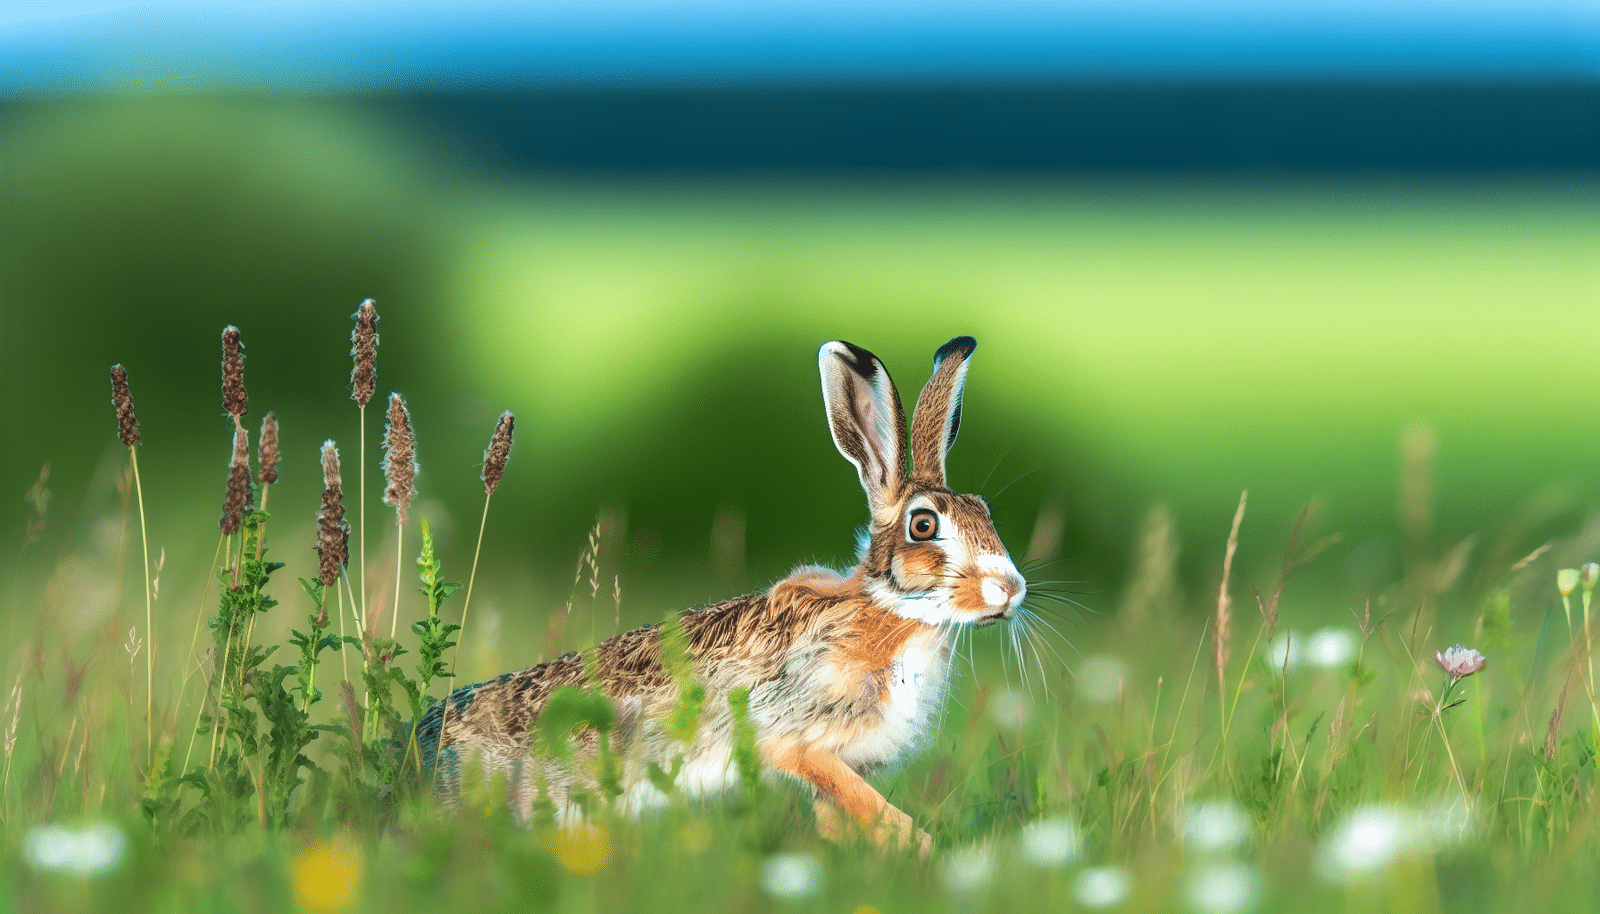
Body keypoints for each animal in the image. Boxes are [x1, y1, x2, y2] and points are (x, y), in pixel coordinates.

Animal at [414, 336, 1027, 854]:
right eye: (923, 526)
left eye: (984, 512)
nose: (1010, 590)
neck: (892, 612)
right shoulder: (800, 739)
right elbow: (872, 809)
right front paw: (925, 852)